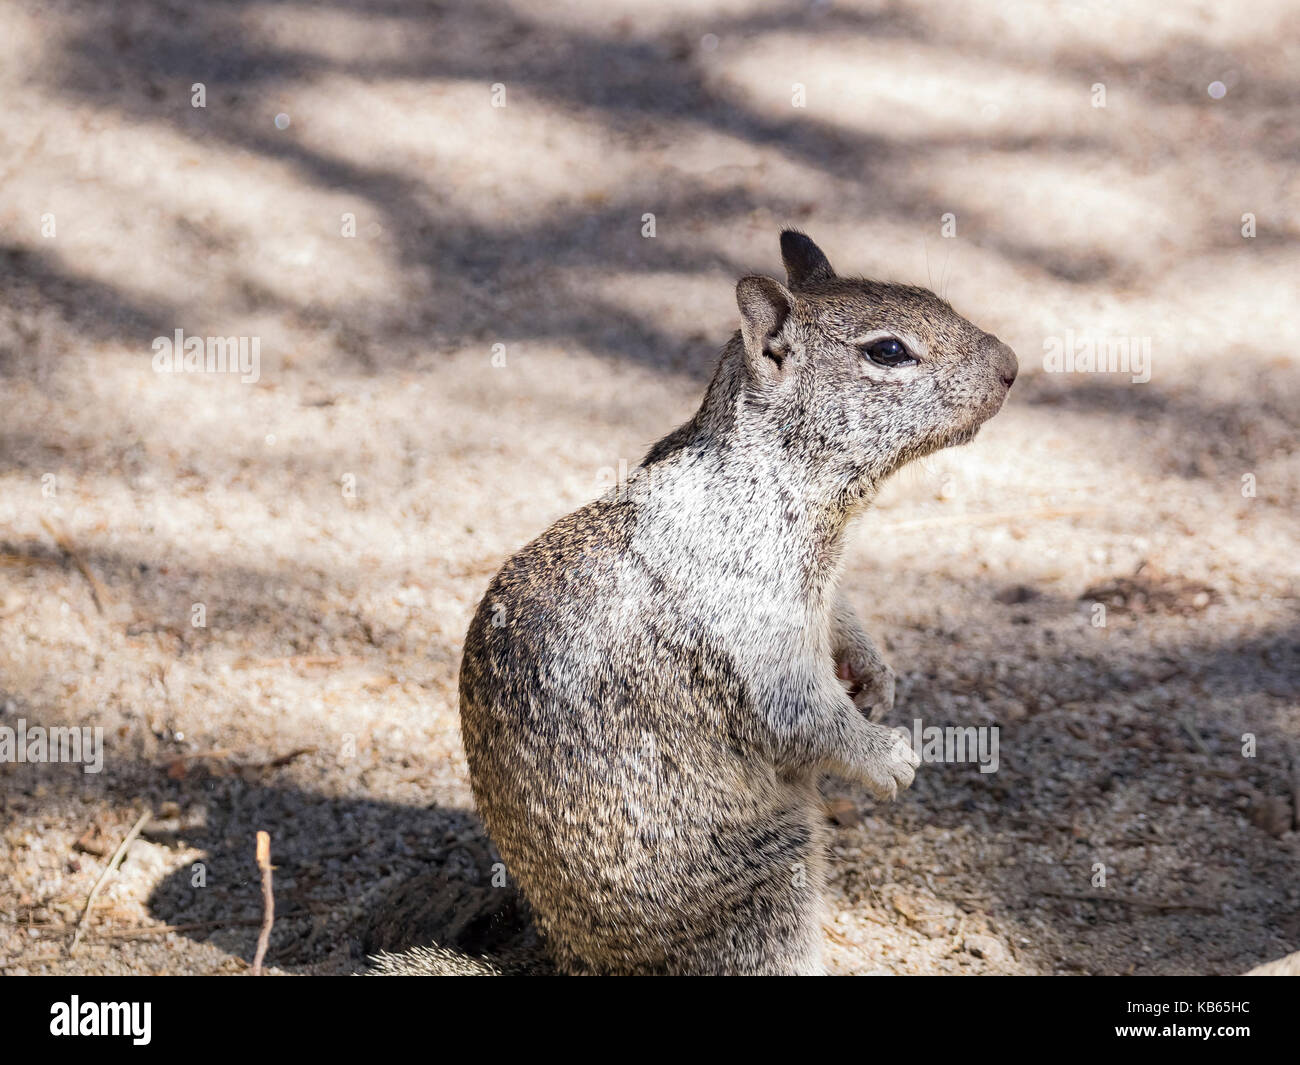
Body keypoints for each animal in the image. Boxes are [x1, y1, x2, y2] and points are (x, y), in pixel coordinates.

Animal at [456, 231, 1018, 975]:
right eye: (889, 351)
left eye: (931, 296)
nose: (1012, 366)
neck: (771, 482)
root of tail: (574, 959)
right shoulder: (759, 636)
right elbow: (806, 715)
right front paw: (888, 757)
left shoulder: (822, 598)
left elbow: (845, 622)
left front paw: (877, 678)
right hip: (769, 883)